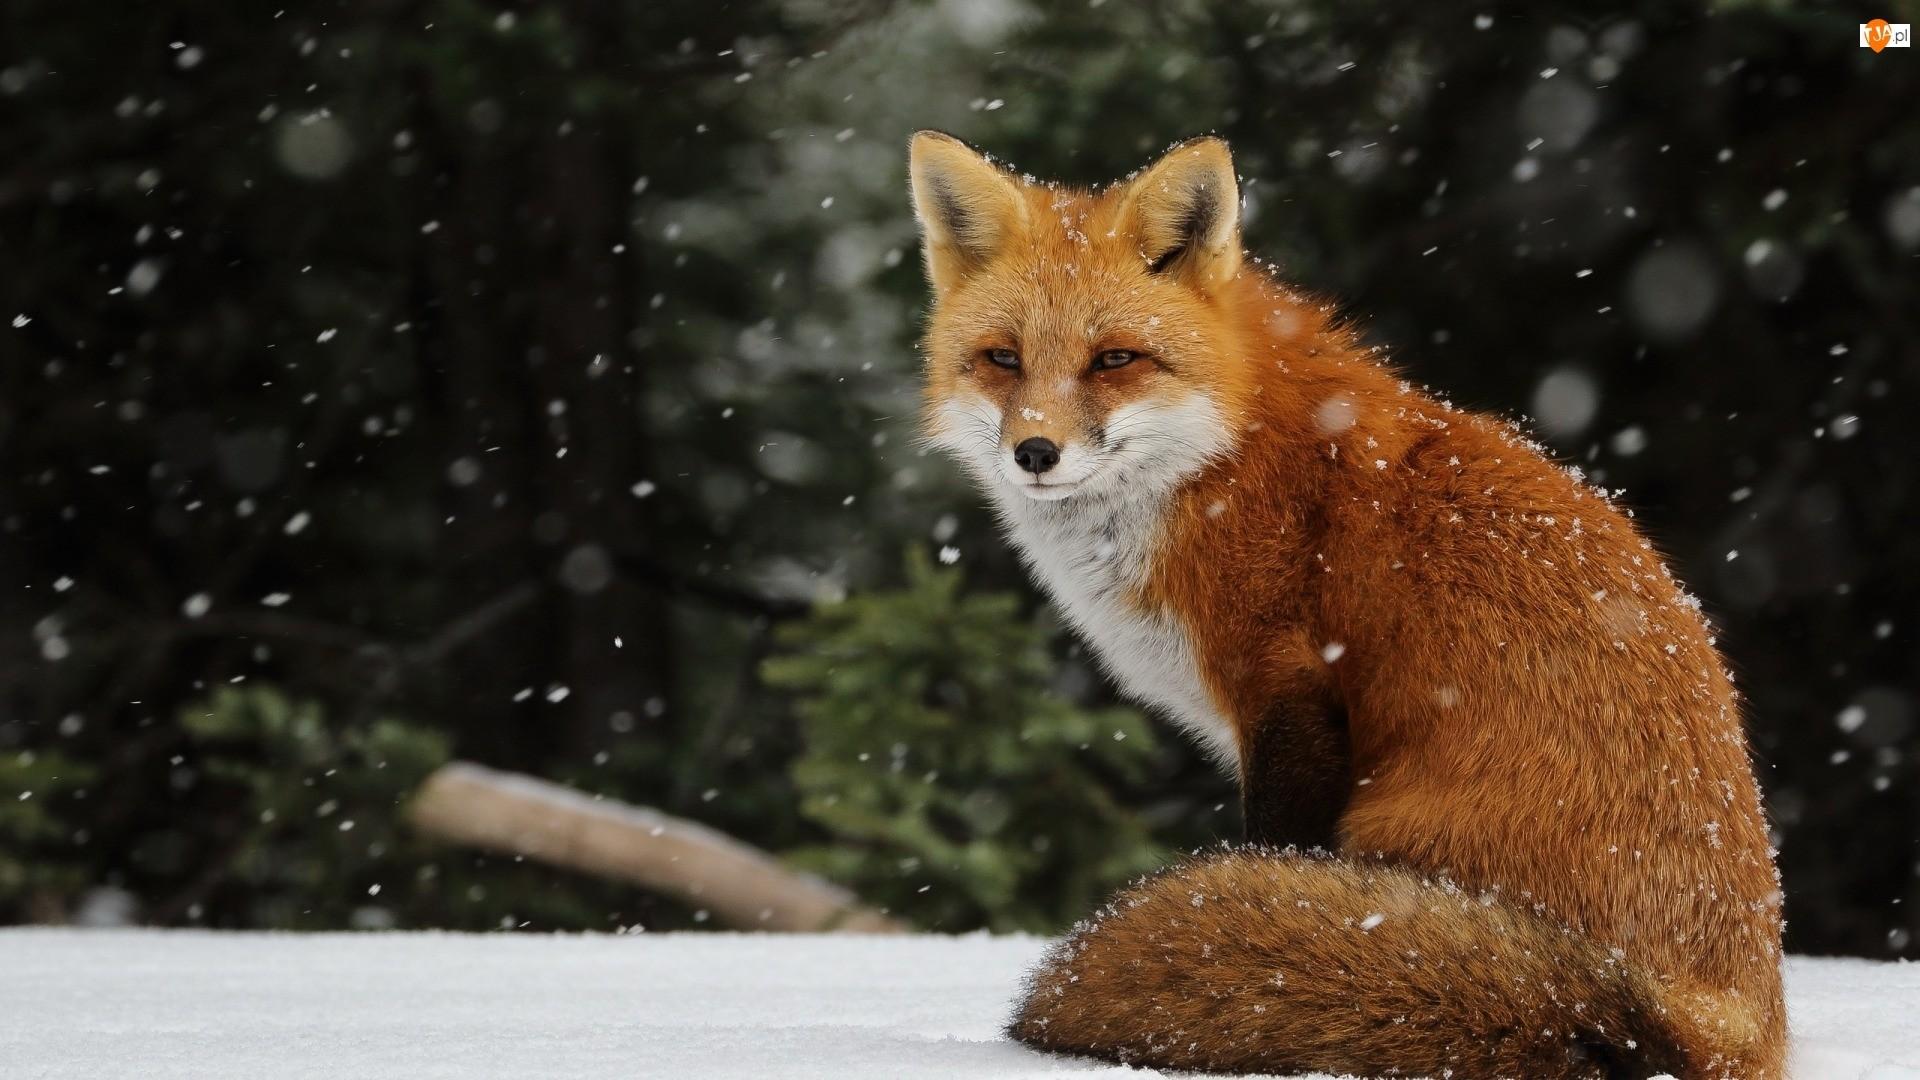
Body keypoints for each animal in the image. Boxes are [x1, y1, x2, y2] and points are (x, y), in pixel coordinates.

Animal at [906, 130, 1786, 1080]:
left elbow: (1272, 849)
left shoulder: (1286, 689)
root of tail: (1723, 1022)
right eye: (1003, 358)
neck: (1218, 461)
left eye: (1114, 359)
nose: (1035, 452)